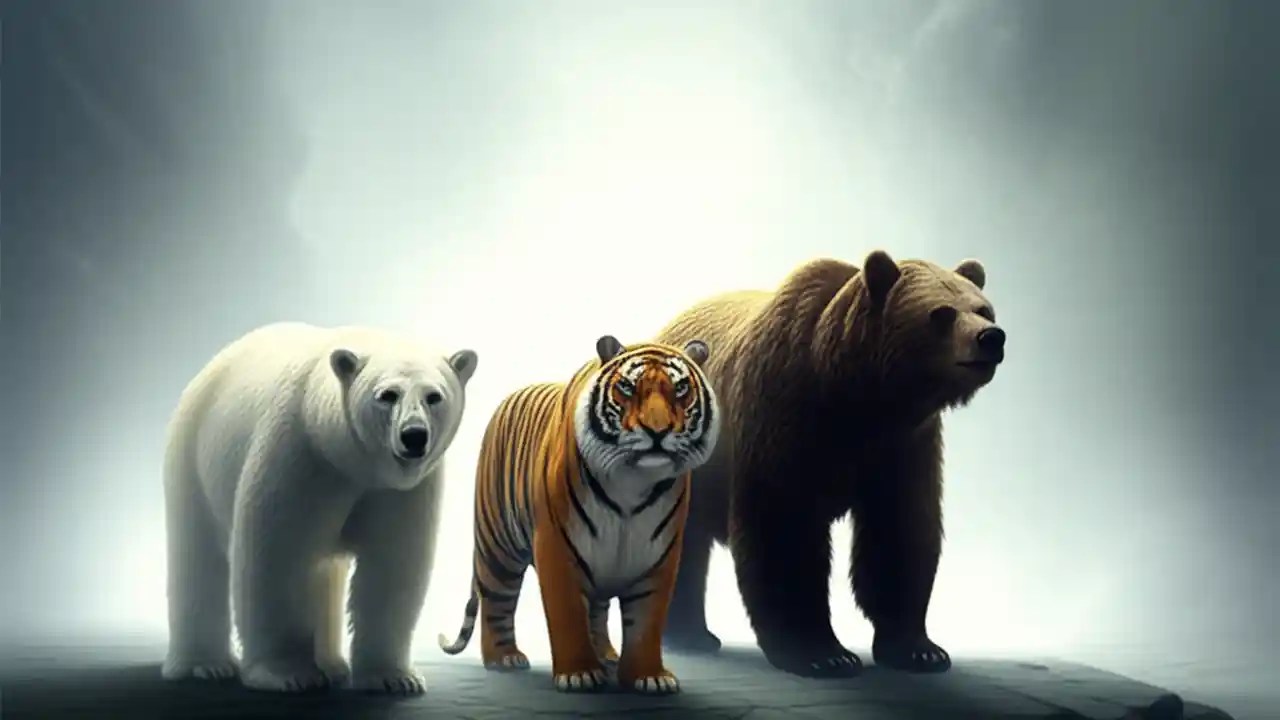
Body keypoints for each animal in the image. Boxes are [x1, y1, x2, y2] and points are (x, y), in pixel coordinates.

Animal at [161, 321, 478, 694]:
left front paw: (394, 677)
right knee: (197, 552)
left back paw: (332, 665)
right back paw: (205, 665)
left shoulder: (399, 492)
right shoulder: (299, 455)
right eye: (388, 395)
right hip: (194, 455)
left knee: (325, 571)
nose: (414, 436)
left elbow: (393, 563)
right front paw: (288, 673)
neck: (349, 459)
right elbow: (276, 558)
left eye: (434, 396)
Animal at [438, 334, 720, 694]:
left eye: (681, 388)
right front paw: (579, 674)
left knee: (597, 612)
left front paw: (648, 676)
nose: (657, 431)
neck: (633, 482)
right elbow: (568, 613)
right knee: (497, 602)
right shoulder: (557, 547)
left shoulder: (659, 557)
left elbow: (646, 622)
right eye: (627, 387)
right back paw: (504, 658)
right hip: (498, 546)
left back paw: (607, 655)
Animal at [652, 250, 1006, 678]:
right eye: (942, 314)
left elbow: (900, 530)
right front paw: (822, 653)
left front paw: (919, 649)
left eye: (983, 309)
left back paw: (693, 635)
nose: (991, 337)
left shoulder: (903, 444)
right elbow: (785, 528)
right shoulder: (781, 412)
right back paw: (685, 637)